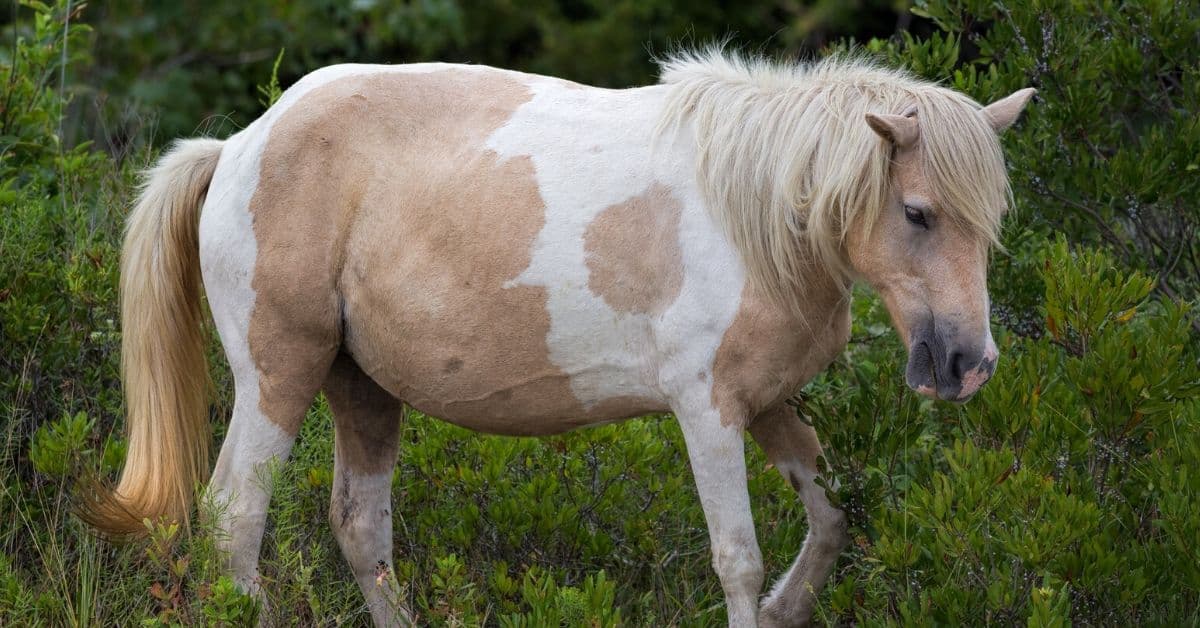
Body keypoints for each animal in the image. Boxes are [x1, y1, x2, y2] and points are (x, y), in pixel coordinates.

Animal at [81, 49, 1033, 626]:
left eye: (990, 221)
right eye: (917, 213)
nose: (967, 365)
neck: (753, 213)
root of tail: (238, 144)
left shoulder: (766, 405)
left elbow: (831, 521)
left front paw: (788, 609)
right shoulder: (708, 411)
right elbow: (738, 558)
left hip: (363, 387)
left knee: (360, 528)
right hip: (279, 375)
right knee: (234, 519)